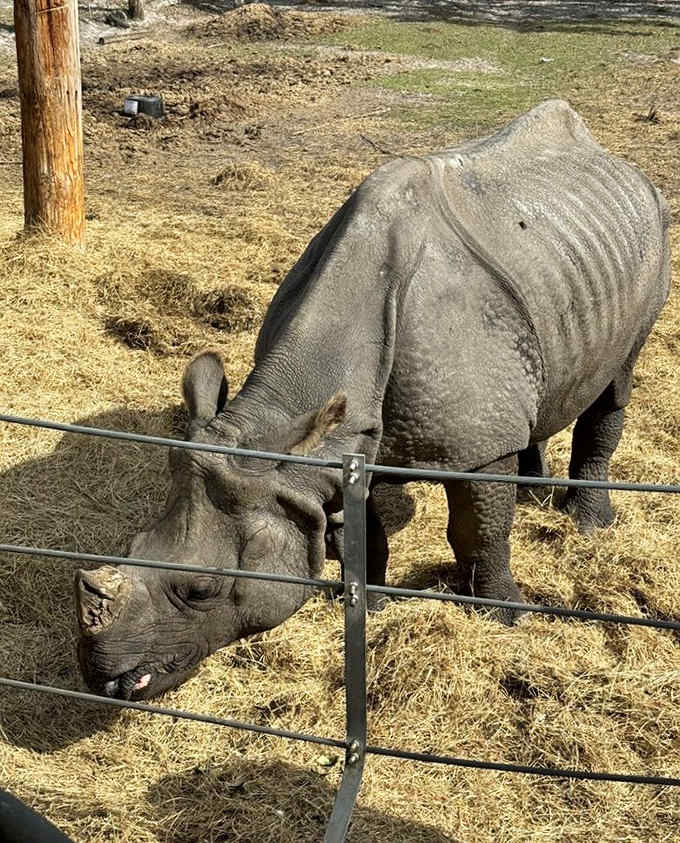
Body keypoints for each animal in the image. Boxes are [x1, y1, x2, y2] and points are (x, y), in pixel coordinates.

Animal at [75, 100, 671, 700]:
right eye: (131, 543)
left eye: (201, 590)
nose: (102, 676)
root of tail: (610, 158)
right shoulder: (345, 445)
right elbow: (367, 531)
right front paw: (369, 603)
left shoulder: (469, 445)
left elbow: (479, 532)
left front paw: (504, 615)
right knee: (536, 394)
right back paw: (532, 483)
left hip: (654, 230)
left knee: (616, 381)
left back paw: (590, 523)